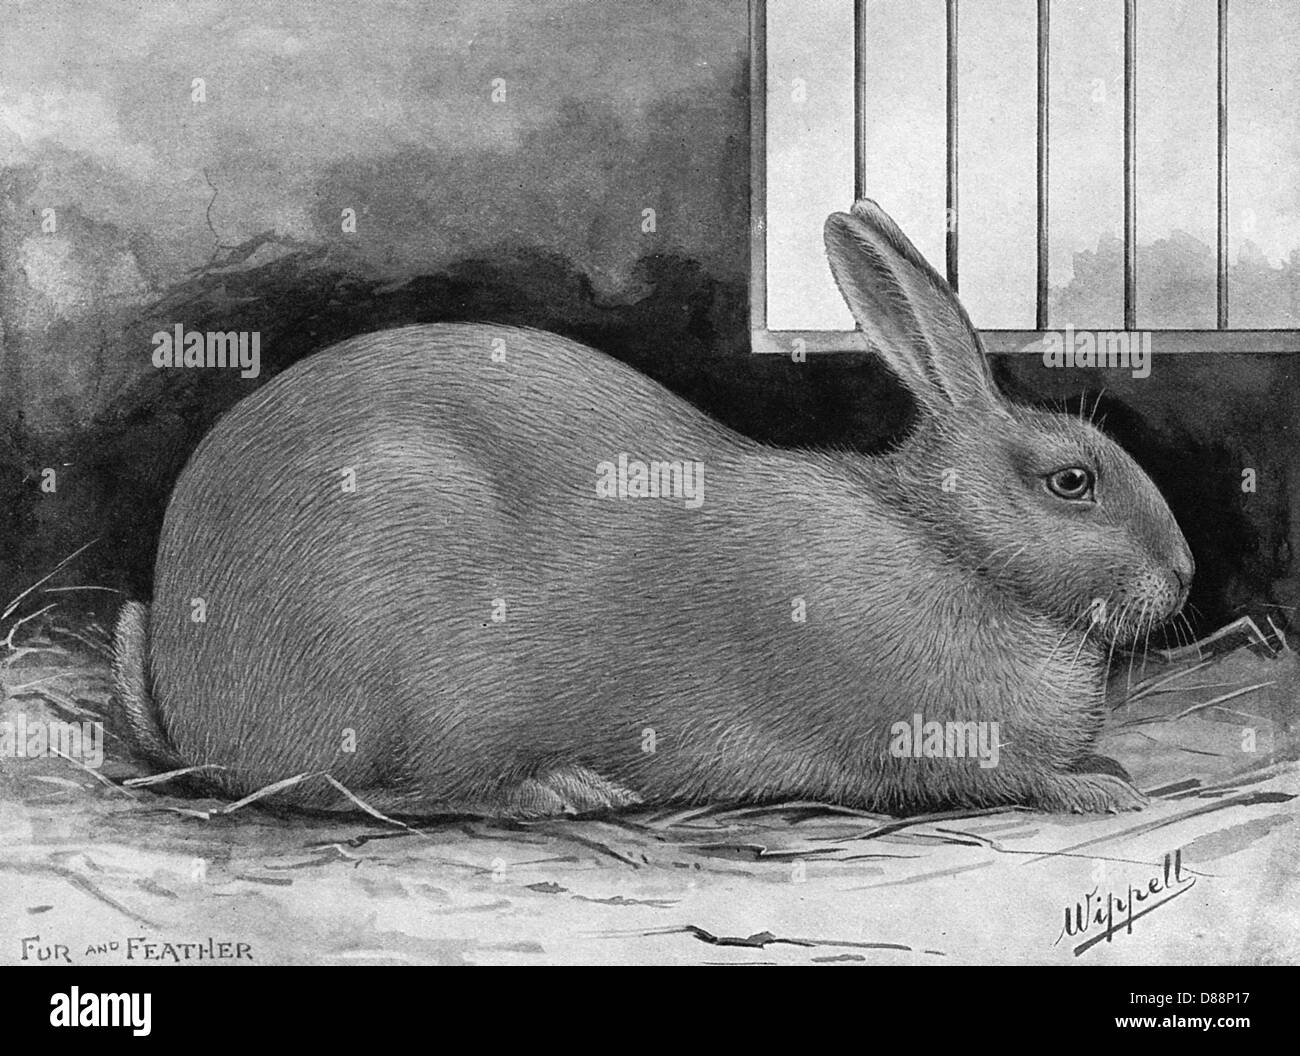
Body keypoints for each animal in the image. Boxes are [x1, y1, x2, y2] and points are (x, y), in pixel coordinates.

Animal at [113, 199, 1193, 819]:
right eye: (1071, 482)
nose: (1182, 576)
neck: (948, 543)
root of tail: (191, 700)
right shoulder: (921, 732)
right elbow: (999, 779)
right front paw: (1092, 786)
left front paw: (1108, 763)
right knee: (360, 792)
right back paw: (561, 788)